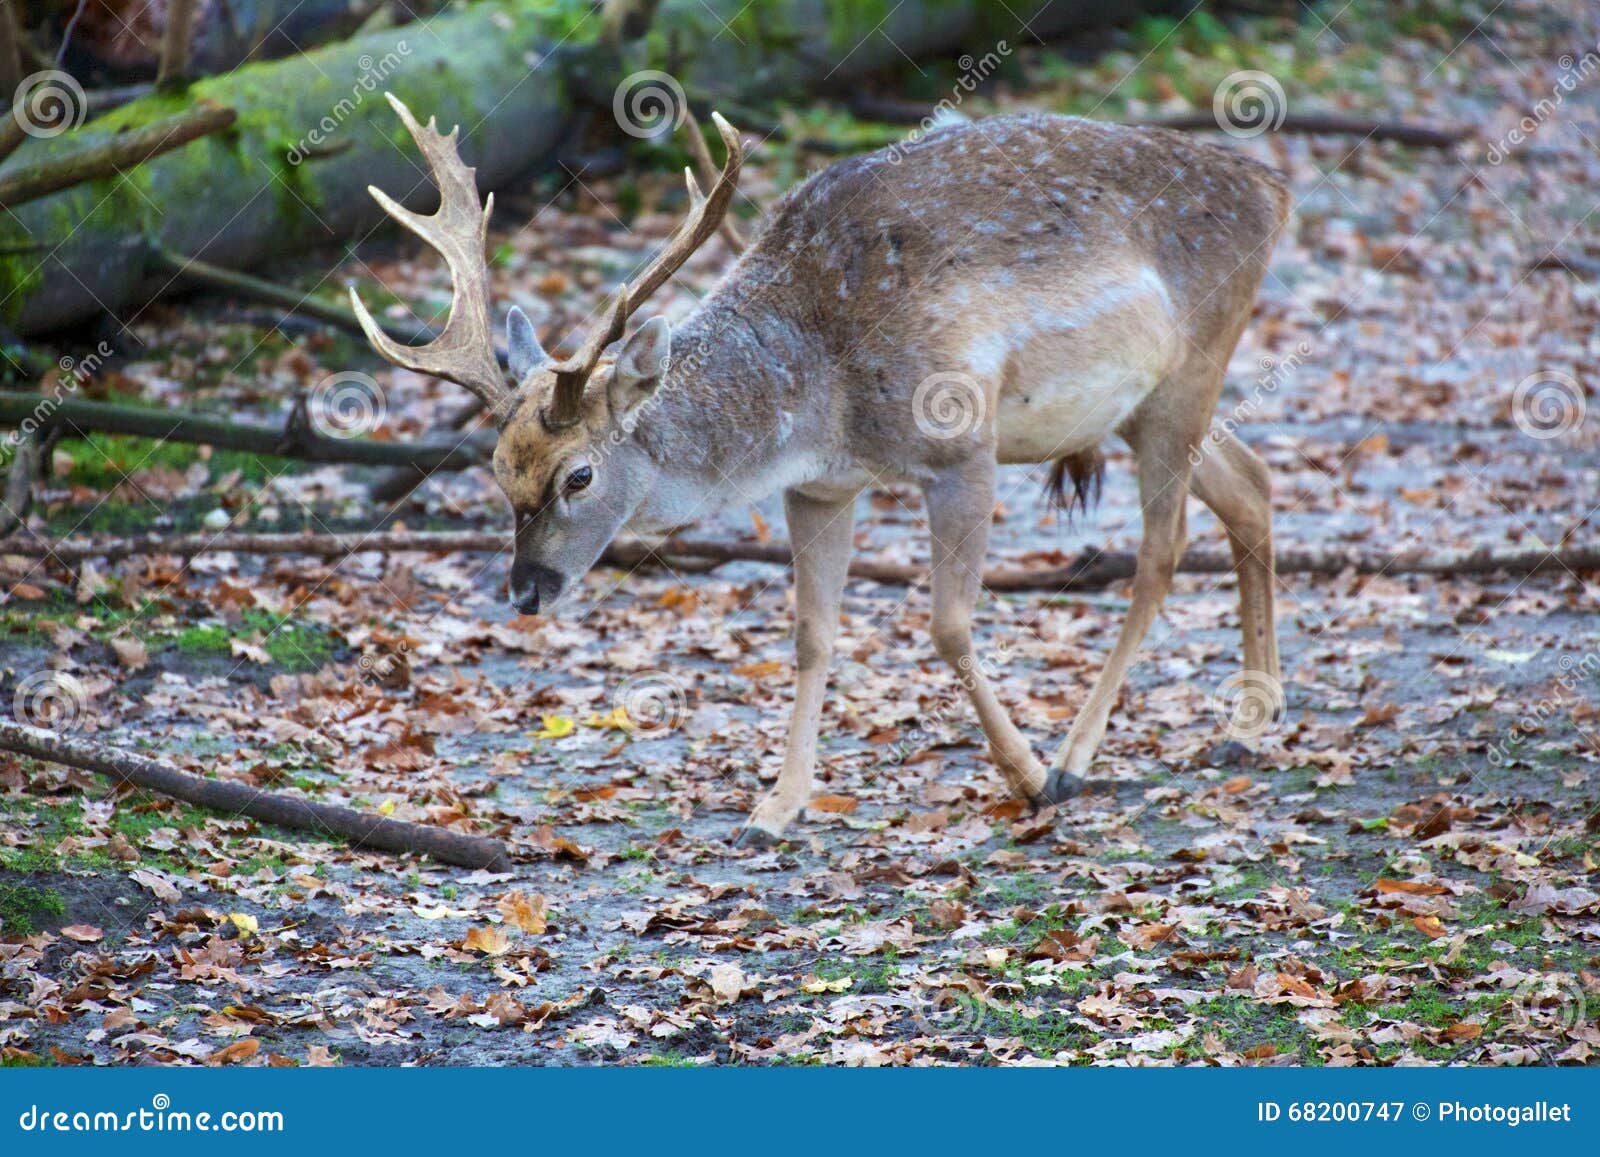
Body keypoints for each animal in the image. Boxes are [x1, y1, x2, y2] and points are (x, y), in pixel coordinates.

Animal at [350, 93, 1290, 846]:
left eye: (578, 475)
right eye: (497, 469)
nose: (525, 589)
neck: (820, 393)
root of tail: (1272, 191)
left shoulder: (961, 445)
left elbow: (949, 624)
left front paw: (1024, 777)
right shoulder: (820, 486)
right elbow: (812, 635)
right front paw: (776, 808)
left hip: (1191, 368)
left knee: (1162, 550)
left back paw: (1076, 756)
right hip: (1141, 406)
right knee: (1252, 486)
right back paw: (1250, 720)